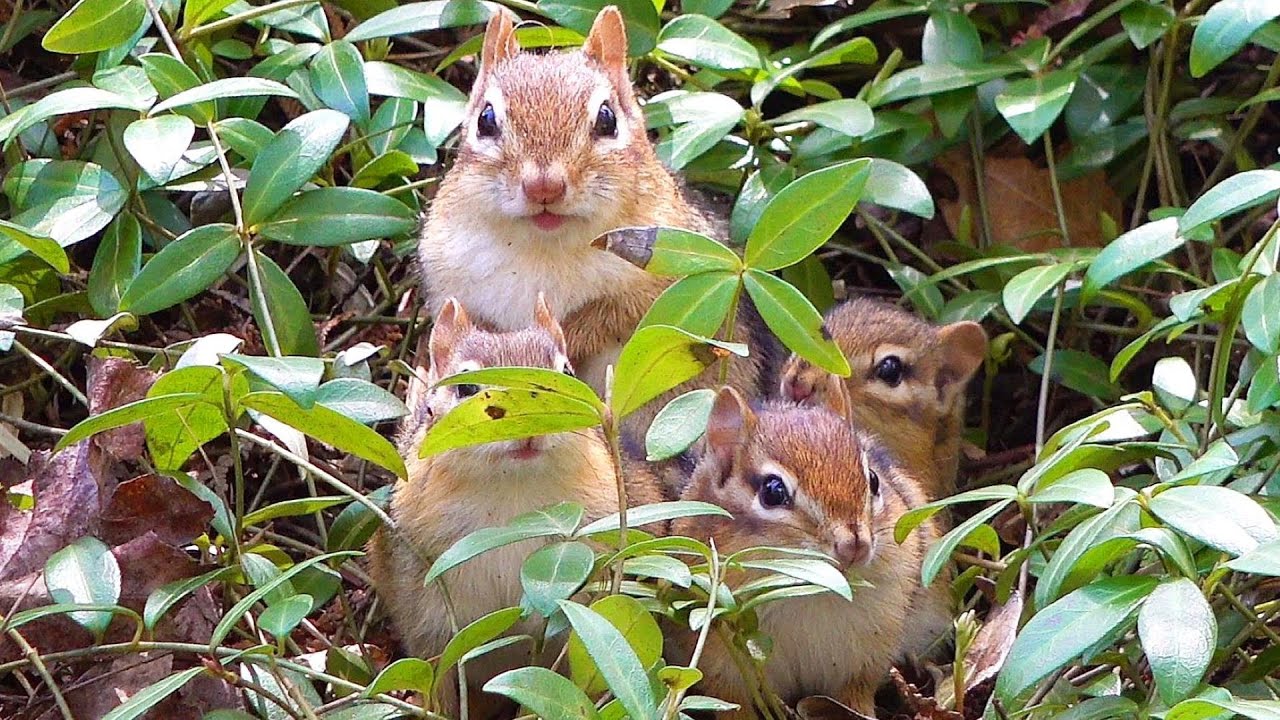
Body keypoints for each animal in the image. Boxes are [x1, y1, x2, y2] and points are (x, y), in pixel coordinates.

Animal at [367, 295, 663, 719]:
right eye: (465, 388)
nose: (533, 420)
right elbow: (436, 682)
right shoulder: (428, 621)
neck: (513, 500)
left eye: (567, 372)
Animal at [416, 7, 776, 440]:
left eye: (607, 119)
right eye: (485, 119)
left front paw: (560, 344)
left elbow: (611, 318)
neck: (542, 247)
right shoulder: (451, 277)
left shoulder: (656, 284)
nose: (544, 187)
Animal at [670, 384, 940, 717]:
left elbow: (857, 697)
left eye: (874, 480)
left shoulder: (865, 660)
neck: (809, 592)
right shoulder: (724, 669)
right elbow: (735, 706)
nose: (854, 545)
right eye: (773, 491)